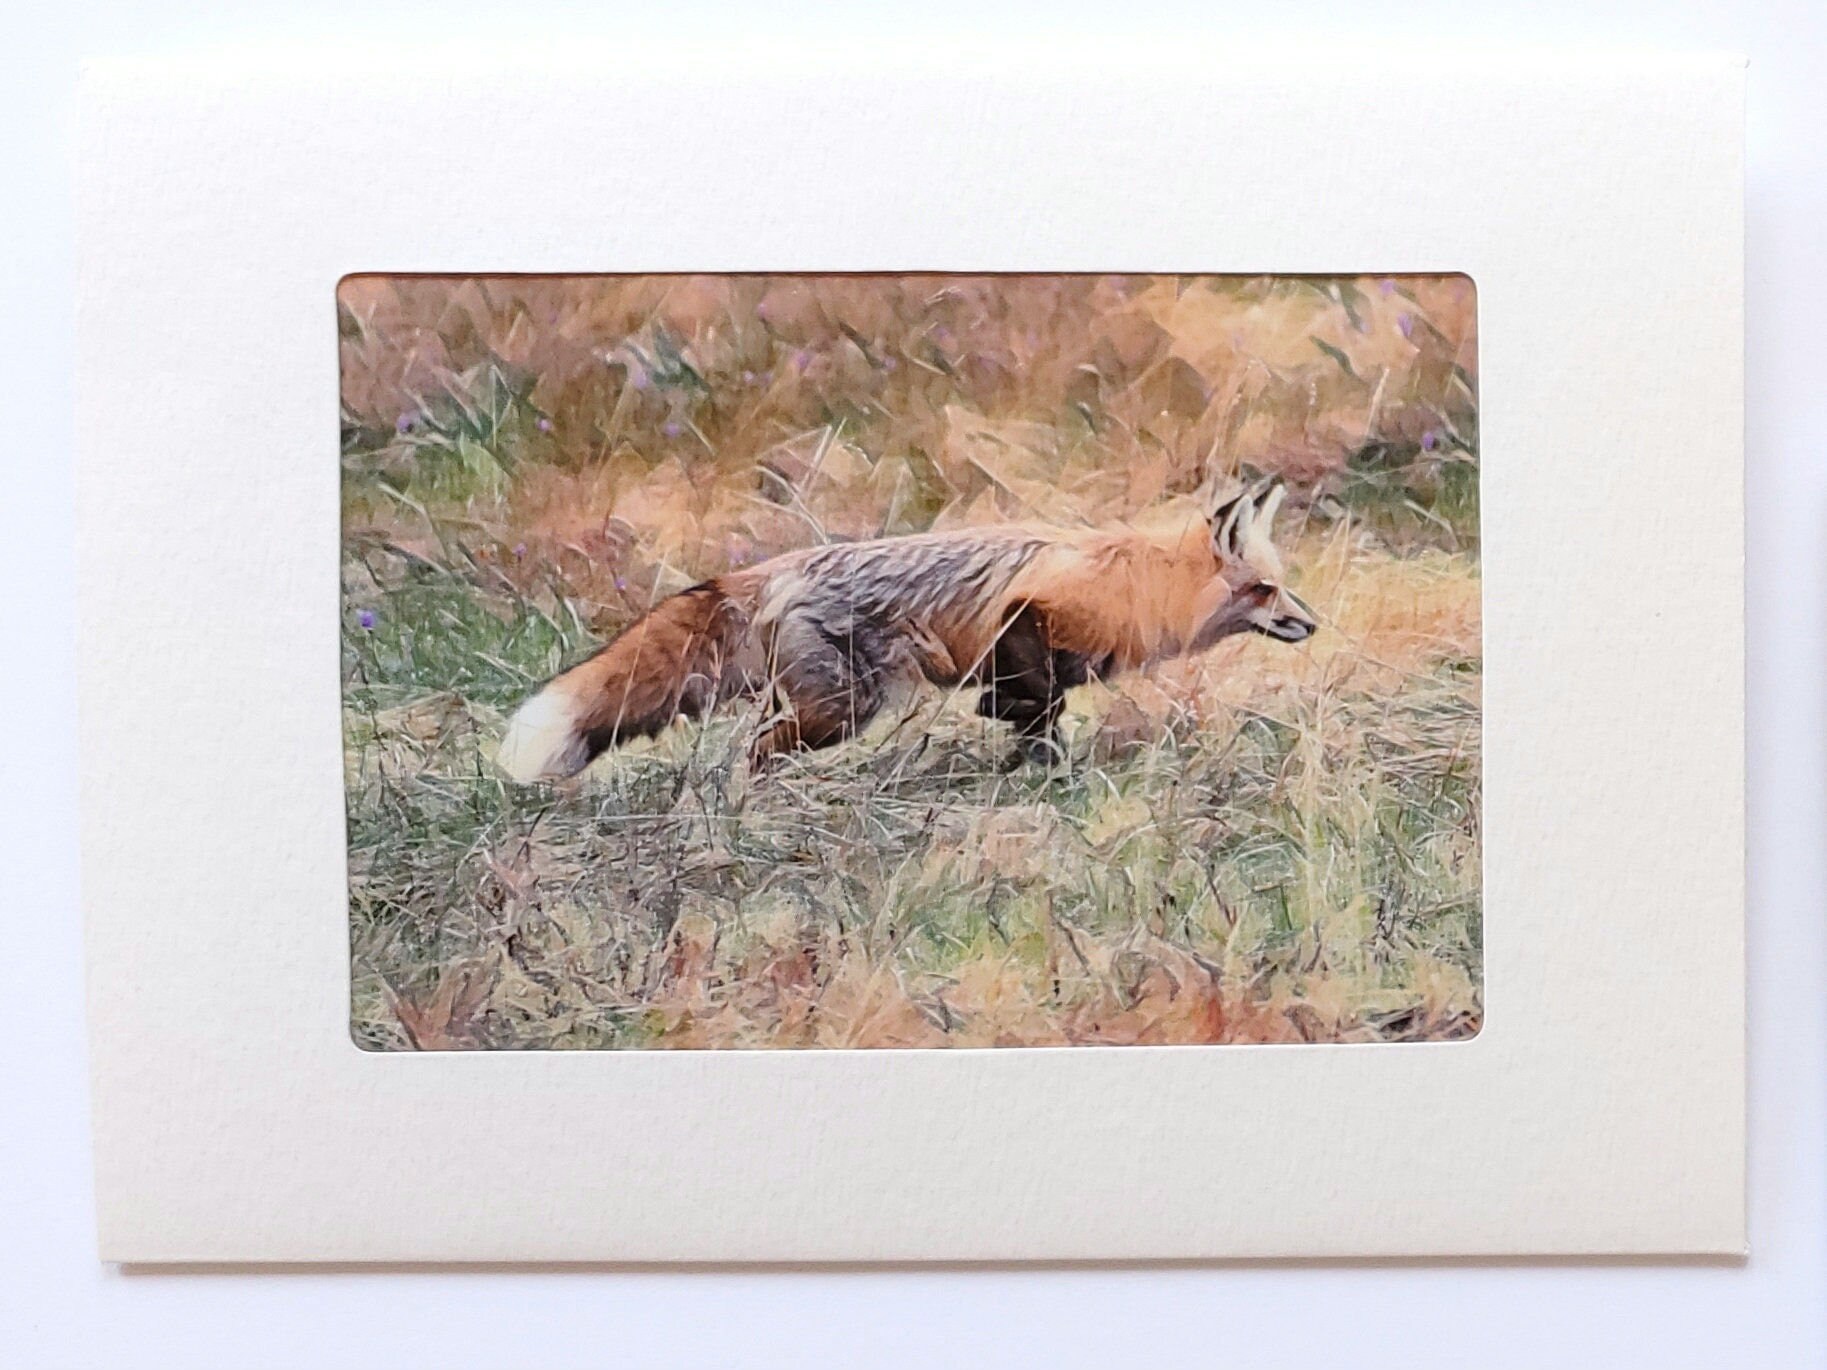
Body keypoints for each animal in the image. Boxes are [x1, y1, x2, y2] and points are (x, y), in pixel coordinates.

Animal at [496, 476, 1317, 782]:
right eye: (1268, 588)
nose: (1312, 623)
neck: (1141, 582)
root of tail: (775, 569)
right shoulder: (1030, 615)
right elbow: (1029, 699)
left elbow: (1041, 720)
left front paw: (1035, 768)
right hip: (845, 710)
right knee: (756, 750)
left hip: (818, 706)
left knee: (749, 742)